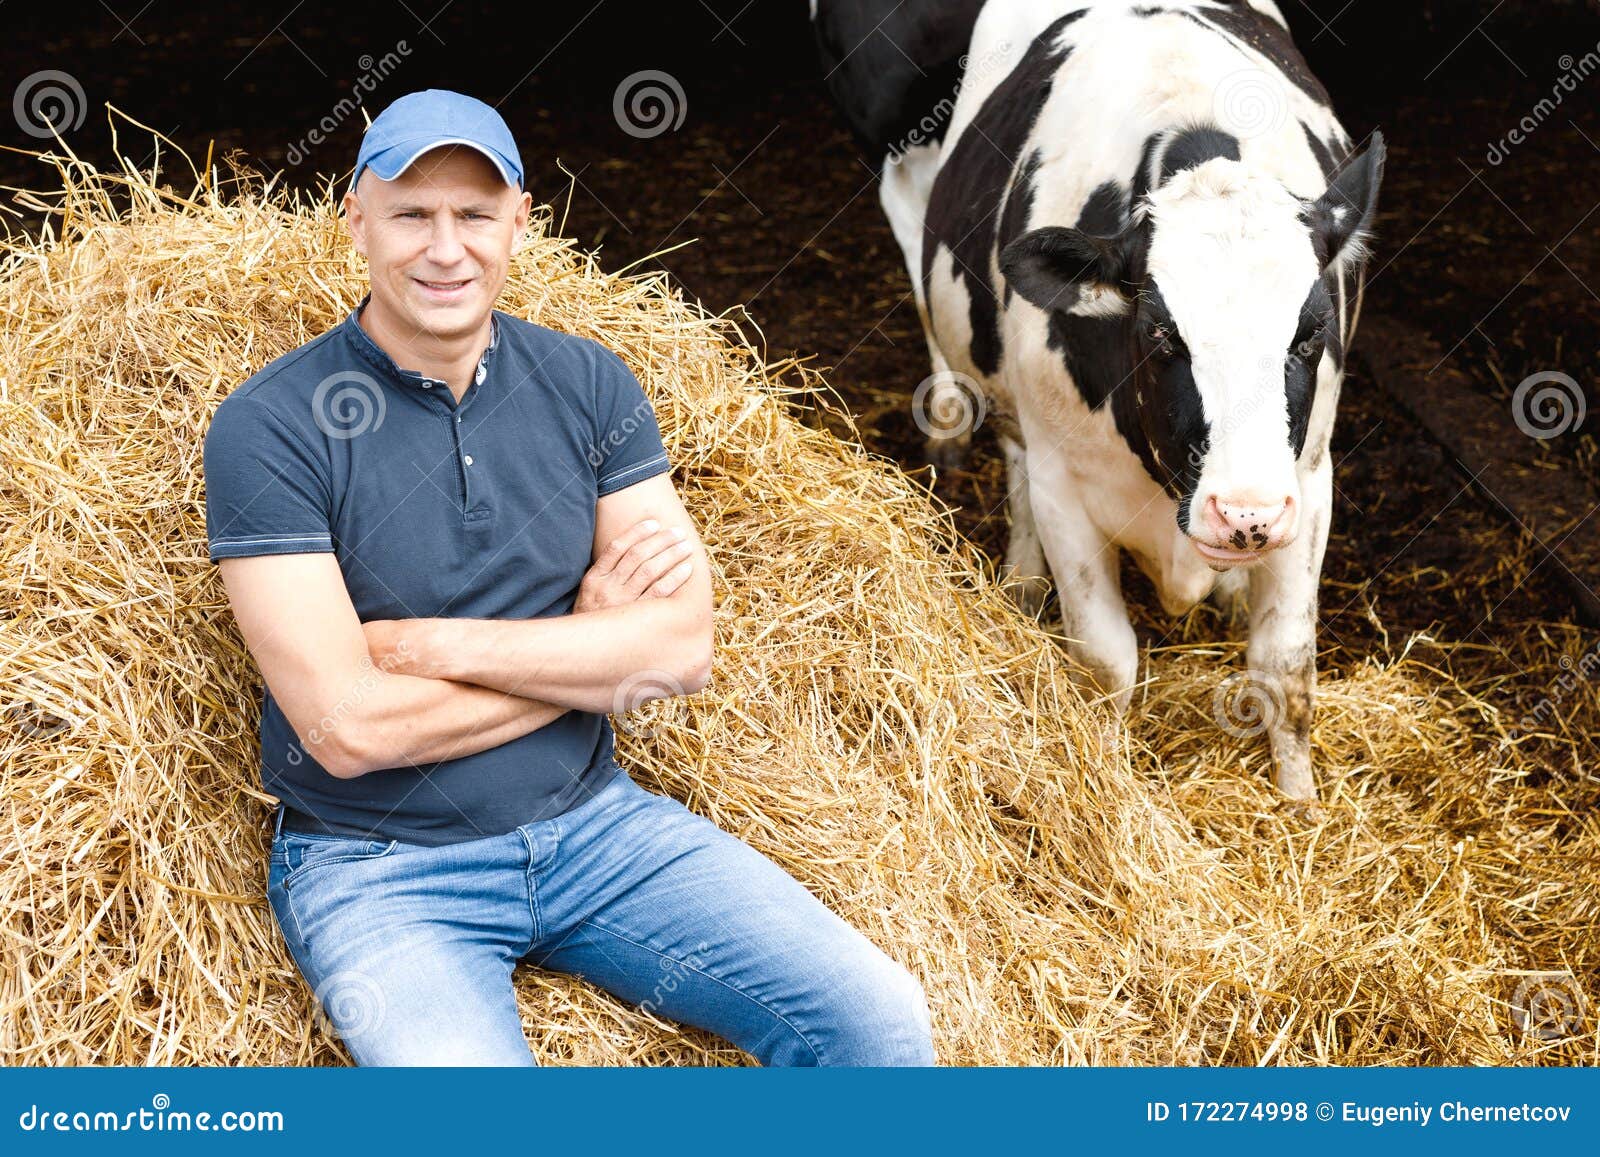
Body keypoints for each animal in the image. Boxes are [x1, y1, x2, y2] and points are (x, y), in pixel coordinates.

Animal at [815, 0, 1386, 802]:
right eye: (1160, 335)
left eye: (1310, 335)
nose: (1244, 516)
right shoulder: (1066, 491)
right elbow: (1106, 664)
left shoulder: (1307, 481)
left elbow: (1286, 668)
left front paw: (1299, 807)